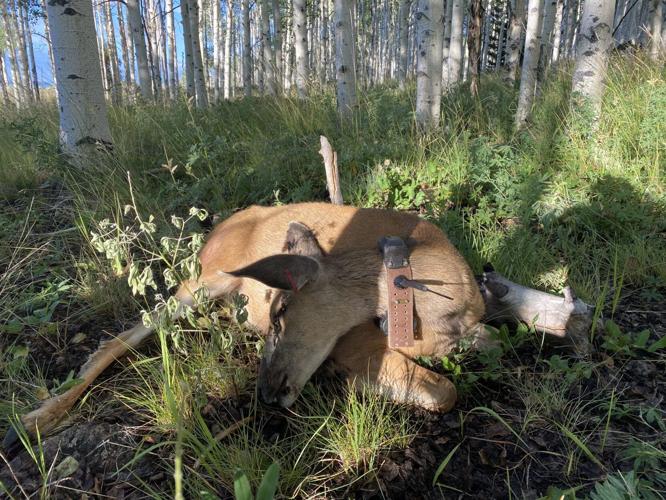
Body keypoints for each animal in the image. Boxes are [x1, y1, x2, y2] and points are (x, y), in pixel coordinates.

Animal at [4, 202, 592, 451]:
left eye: (284, 313)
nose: (265, 394)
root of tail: (211, 238)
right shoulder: (357, 339)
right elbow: (444, 389)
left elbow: (486, 348)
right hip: (204, 282)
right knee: (118, 338)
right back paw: (34, 419)